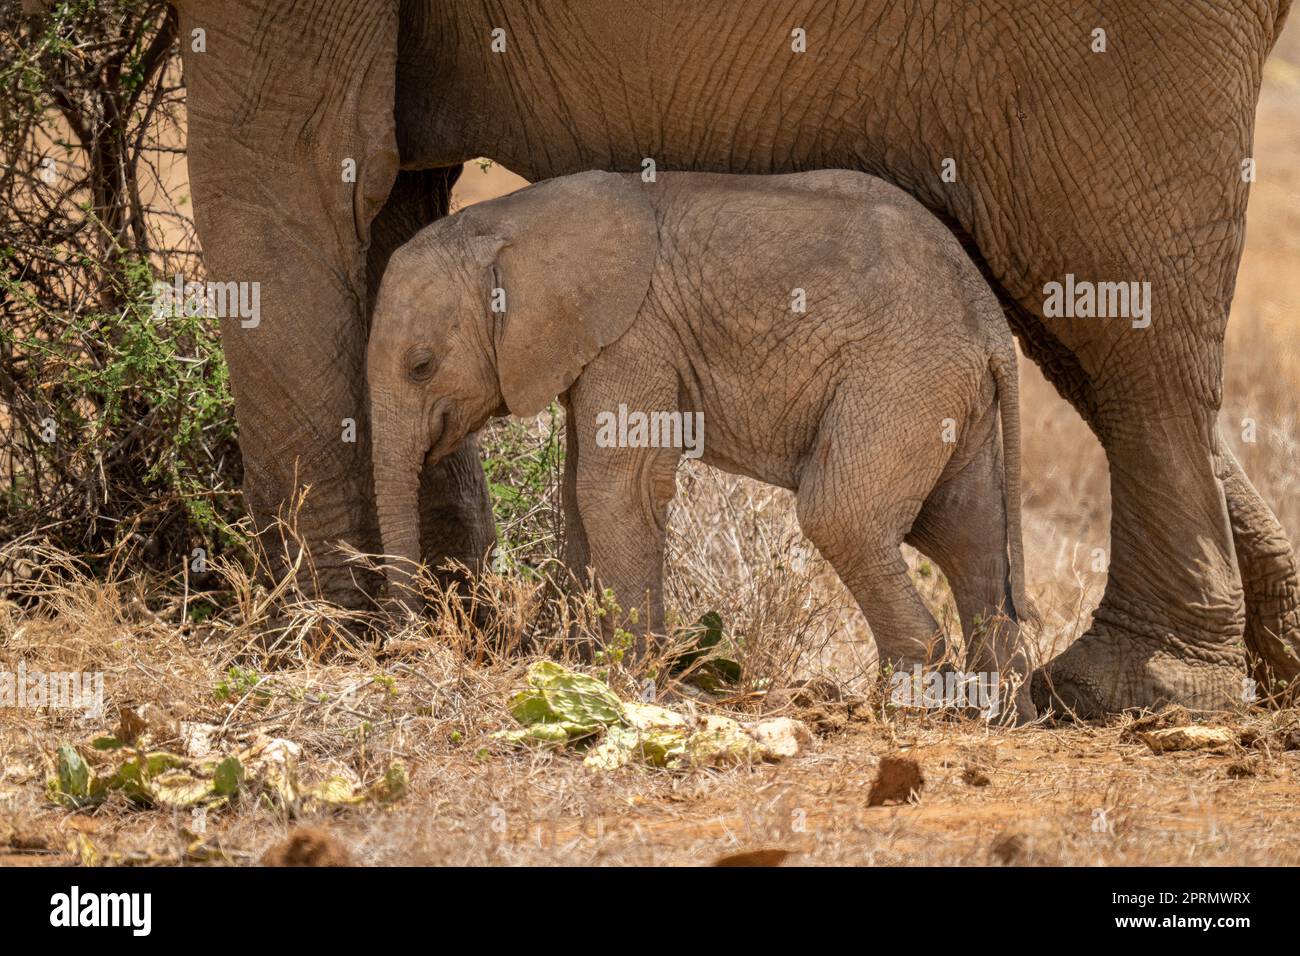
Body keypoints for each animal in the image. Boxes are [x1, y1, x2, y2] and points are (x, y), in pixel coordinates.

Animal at [367, 169, 1036, 720]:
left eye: (421, 366)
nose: (409, 641)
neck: (510, 224)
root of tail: (991, 324)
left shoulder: (634, 334)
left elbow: (613, 490)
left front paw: (630, 682)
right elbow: (583, 493)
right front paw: (572, 664)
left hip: (903, 377)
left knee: (843, 515)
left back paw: (906, 706)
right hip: (948, 393)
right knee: (966, 534)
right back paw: (1004, 711)